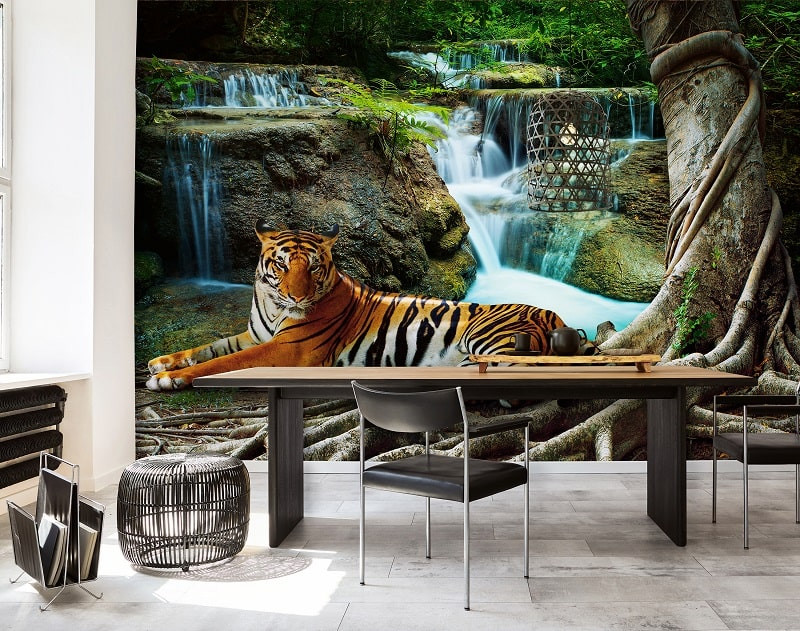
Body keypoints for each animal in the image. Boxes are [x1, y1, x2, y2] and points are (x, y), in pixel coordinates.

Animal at [146, 220, 566, 390]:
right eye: (281, 265)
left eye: (312, 266)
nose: (296, 296)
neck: (272, 304)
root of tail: (554, 314)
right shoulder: (255, 336)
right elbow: (209, 348)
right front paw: (162, 362)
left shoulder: (288, 350)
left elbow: (224, 362)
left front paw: (171, 378)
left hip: (488, 340)